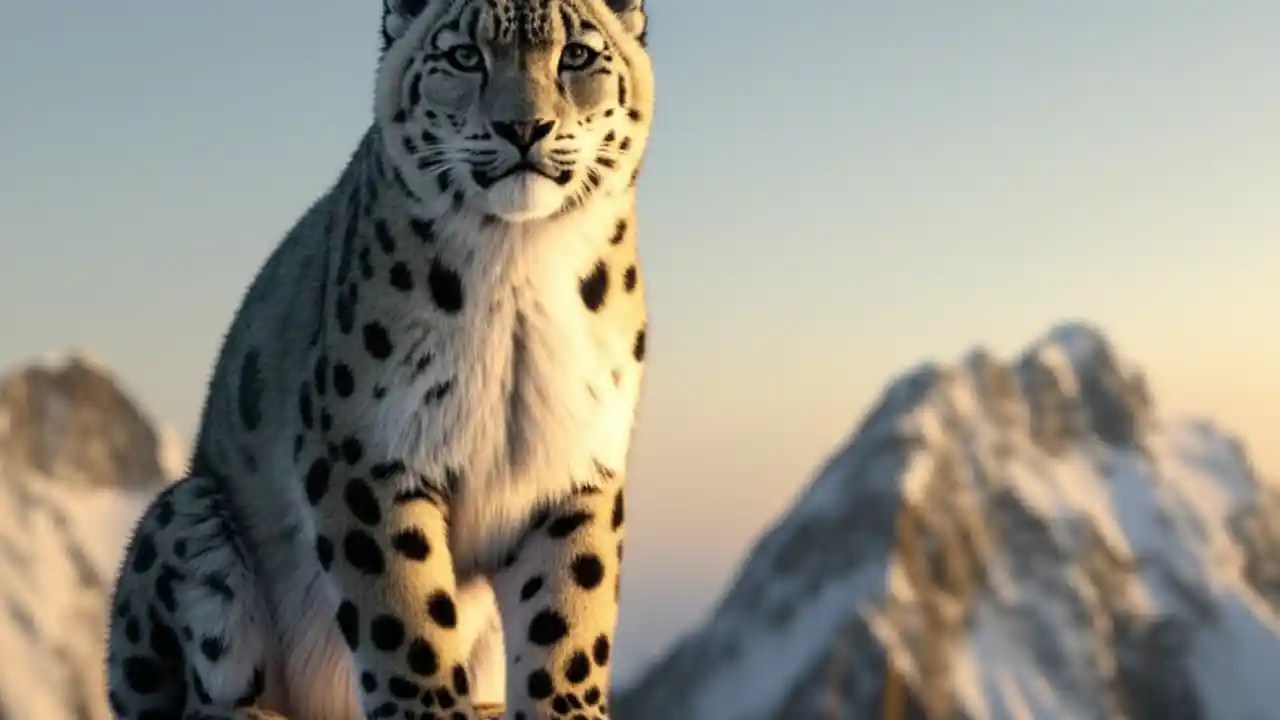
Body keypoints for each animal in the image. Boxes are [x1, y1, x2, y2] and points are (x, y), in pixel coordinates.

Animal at [105, 1, 653, 718]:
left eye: (578, 56)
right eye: (464, 57)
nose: (523, 127)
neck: (521, 267)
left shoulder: (575, 460)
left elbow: (567, 613)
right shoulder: (369, 450)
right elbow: (404, 608)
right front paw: (430, 707)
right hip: (186, 515)